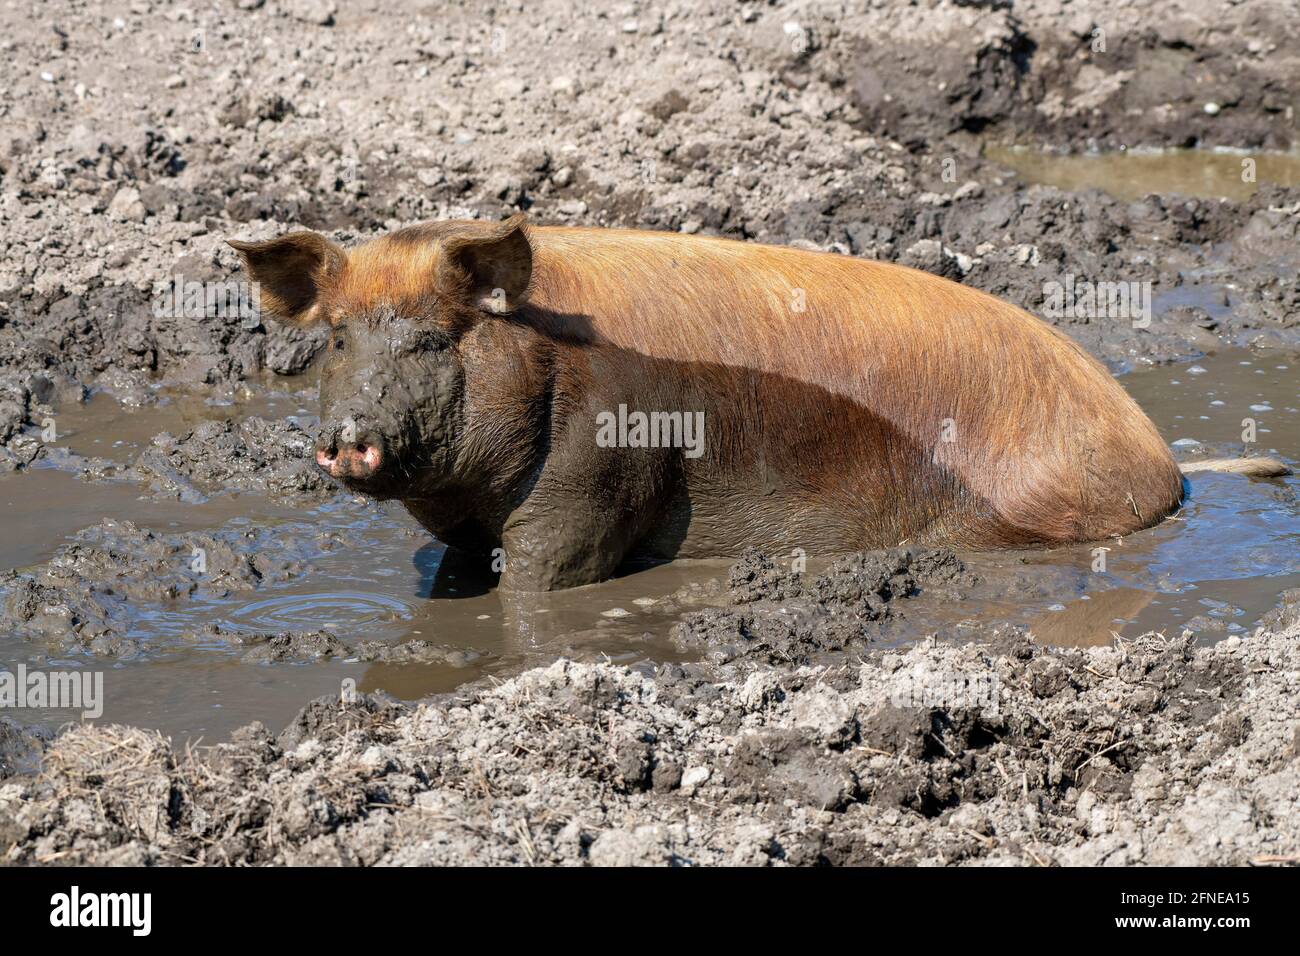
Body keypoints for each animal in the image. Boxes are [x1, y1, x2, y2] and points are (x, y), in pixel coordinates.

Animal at [229, 214, 1198, 591]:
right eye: (339, 338)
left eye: (435, 339)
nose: (348, 437)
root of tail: (1163, 465)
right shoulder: (469, 532)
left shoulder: (598, 477)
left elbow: (549, 572)